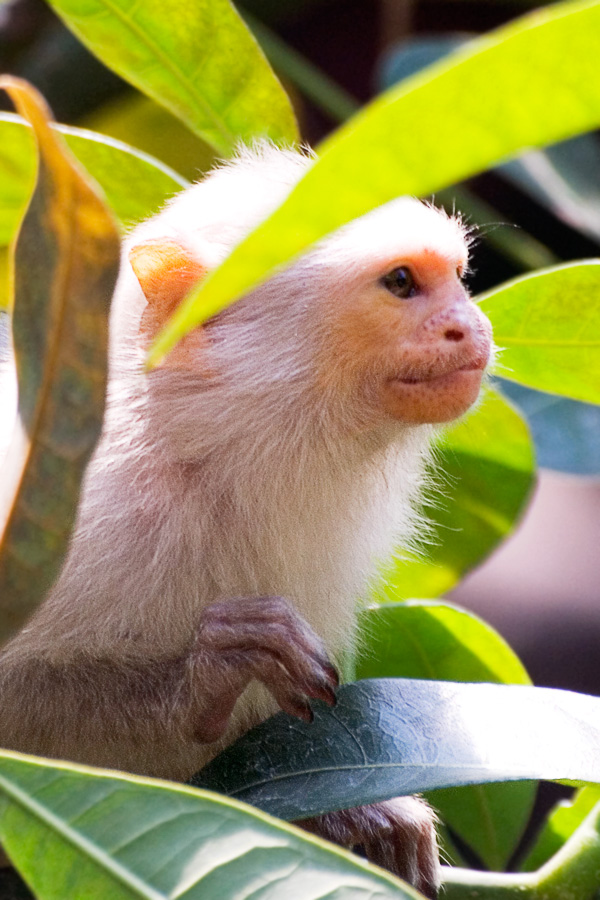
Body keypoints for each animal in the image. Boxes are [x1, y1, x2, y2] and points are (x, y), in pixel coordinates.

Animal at [0, 143, 492, 897]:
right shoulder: (84, 511)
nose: (472, 327)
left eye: (458, 282)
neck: (204, 454)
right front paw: (206, 677)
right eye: (403, 283)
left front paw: (358, 819)